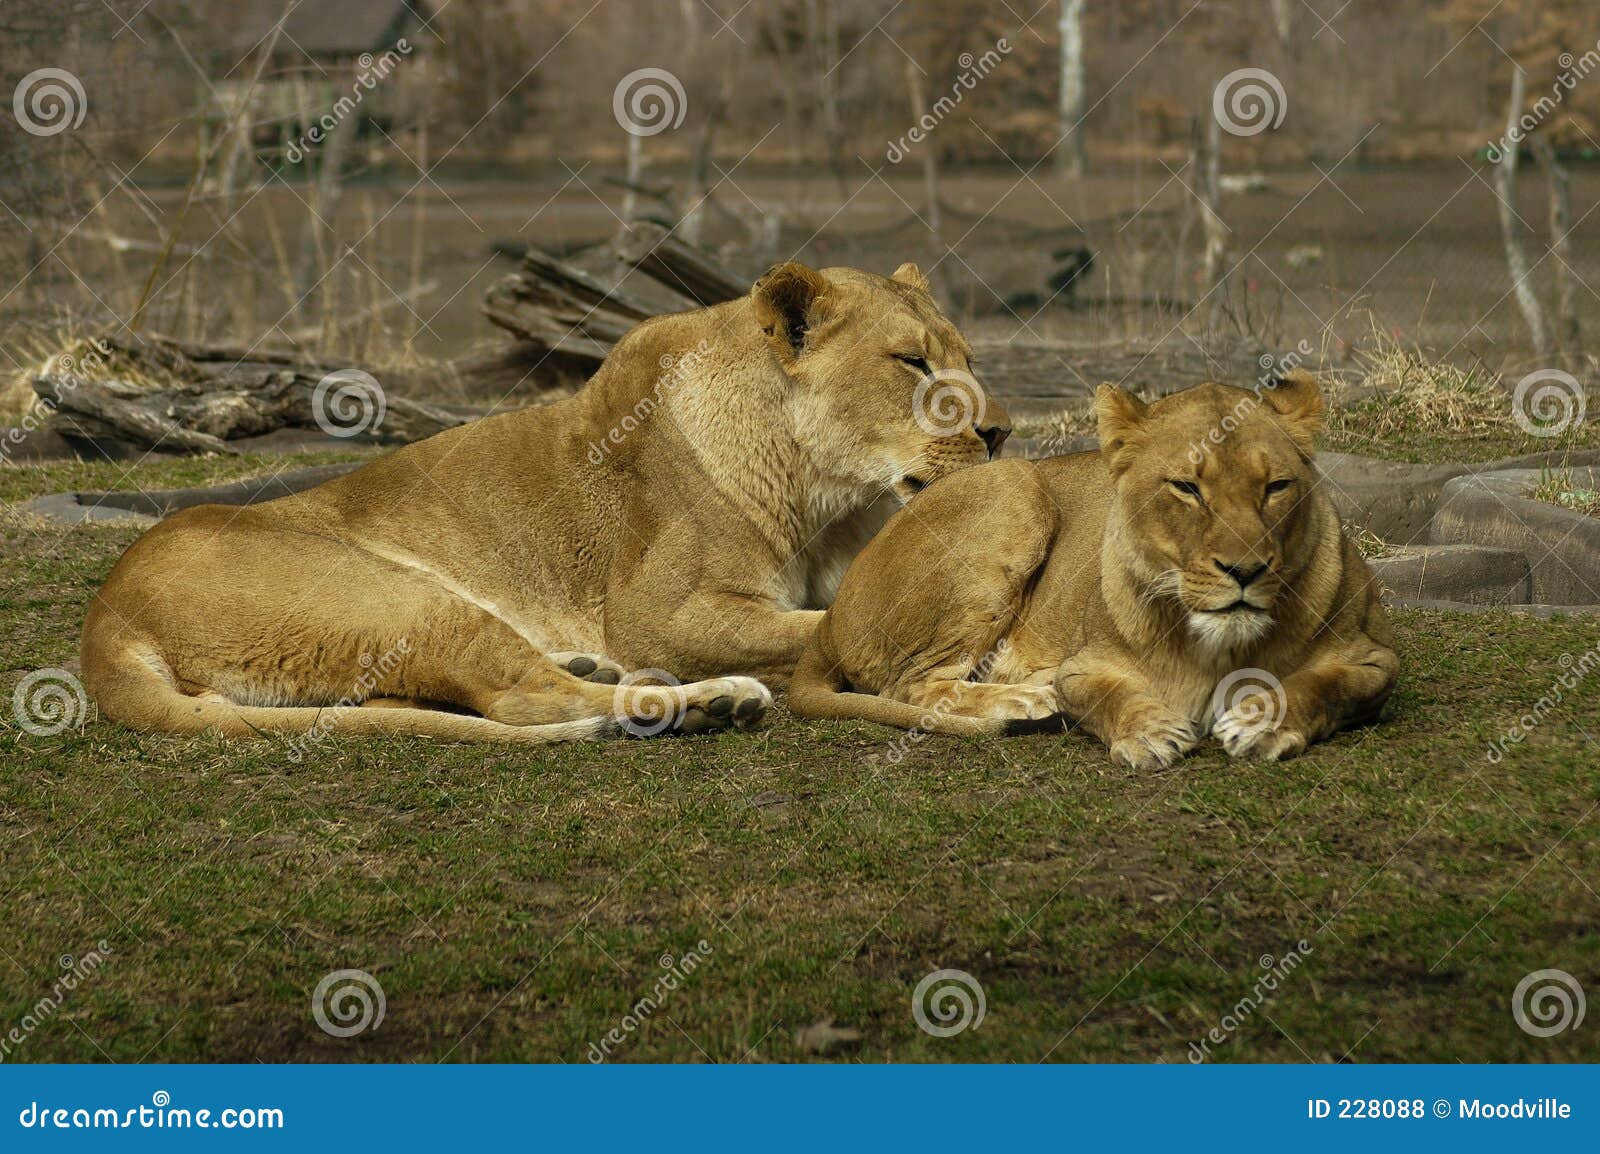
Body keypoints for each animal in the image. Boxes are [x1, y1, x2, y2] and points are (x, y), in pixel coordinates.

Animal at [82, 261, 1009, 745]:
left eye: (968, 357)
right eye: (914, 363)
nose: (1001, 433)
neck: (827, 499)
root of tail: (106, 617)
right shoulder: (657, 613)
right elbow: (818, 629)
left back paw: (595, 666)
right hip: (398, 597)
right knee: (529, 701)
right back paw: (707, 702)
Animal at [789, 372, 1397, 769]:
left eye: (1276, 487)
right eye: (1187, 488)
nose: (1245, 570)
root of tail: (830, 615)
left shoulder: (1375, 660)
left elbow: (1324, 685)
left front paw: (1262, 721)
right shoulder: (1087, 664)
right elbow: (1109, 696)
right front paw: (1149, 733)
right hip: (1016, 482)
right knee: (914, 687)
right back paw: (1031, 700)